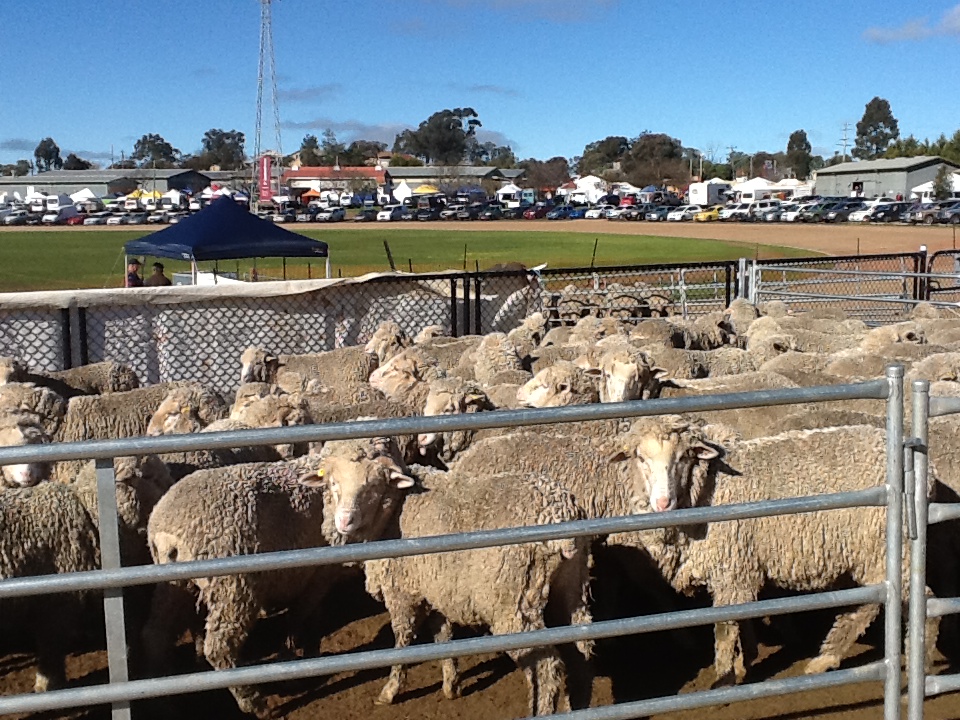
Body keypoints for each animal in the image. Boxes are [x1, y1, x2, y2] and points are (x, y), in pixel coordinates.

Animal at [143, 438, 415, 717]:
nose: (345, 521)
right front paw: (292, 658)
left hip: (173, 583)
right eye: (334, 483)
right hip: (233, 587)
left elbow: (312, 615)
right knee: (219, 648)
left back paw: (164, 702)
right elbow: (300, 615)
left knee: (155, 636)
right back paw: (255, 702)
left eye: (373, 486)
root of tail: (167, 531)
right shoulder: (319, 572)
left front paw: (310, 649)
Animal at [365, 466, 592, 716]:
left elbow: (403, 640)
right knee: (578, 653)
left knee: (546, 667)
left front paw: (390, 689)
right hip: (571, 588)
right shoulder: (437, 590)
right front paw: (451, 683)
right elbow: (442, 634)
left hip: (514, 605)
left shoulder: (402, 591)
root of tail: (560, 511)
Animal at [610, 417, 937, 684]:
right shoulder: (741, 567)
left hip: (885, 546)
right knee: (865, 604)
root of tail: (925, 469)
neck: (711, 490)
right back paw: (825, 658)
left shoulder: (732, 567)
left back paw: (921, 662)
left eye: (683, 457)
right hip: (869, 551)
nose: (662, 503)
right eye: (640, 457)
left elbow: (725, 628)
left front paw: (724, 678)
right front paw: (744, 662)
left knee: (921, 599)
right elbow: (744, 617)